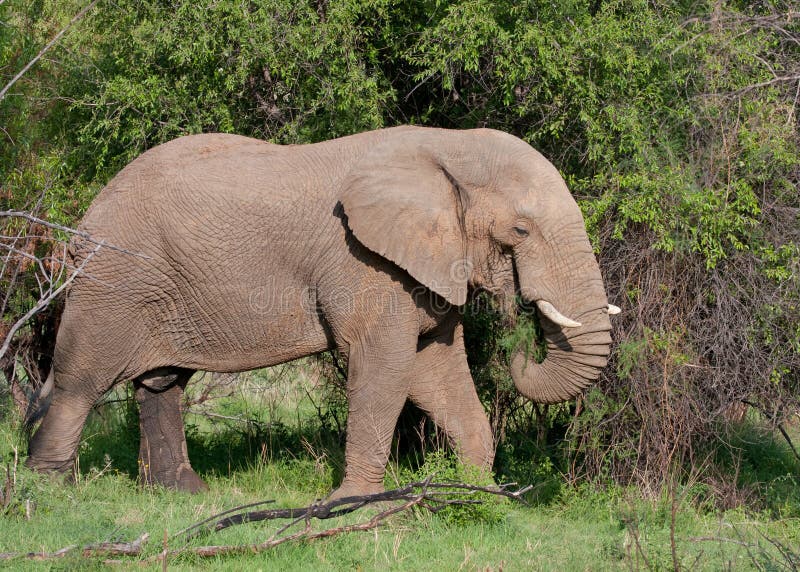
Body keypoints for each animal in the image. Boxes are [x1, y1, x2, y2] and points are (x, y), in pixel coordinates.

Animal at [26, 126, 618, 498]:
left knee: (161, 384)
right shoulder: (365, 264)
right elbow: (384, 370)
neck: (449, 146)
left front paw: (481, 494)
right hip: (113, 281)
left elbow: (439, 371)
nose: (521, 326)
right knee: (81, 380)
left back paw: (185, 494)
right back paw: (50, 491)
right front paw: (353, 507)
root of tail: (83, 221)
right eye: (521, 230)